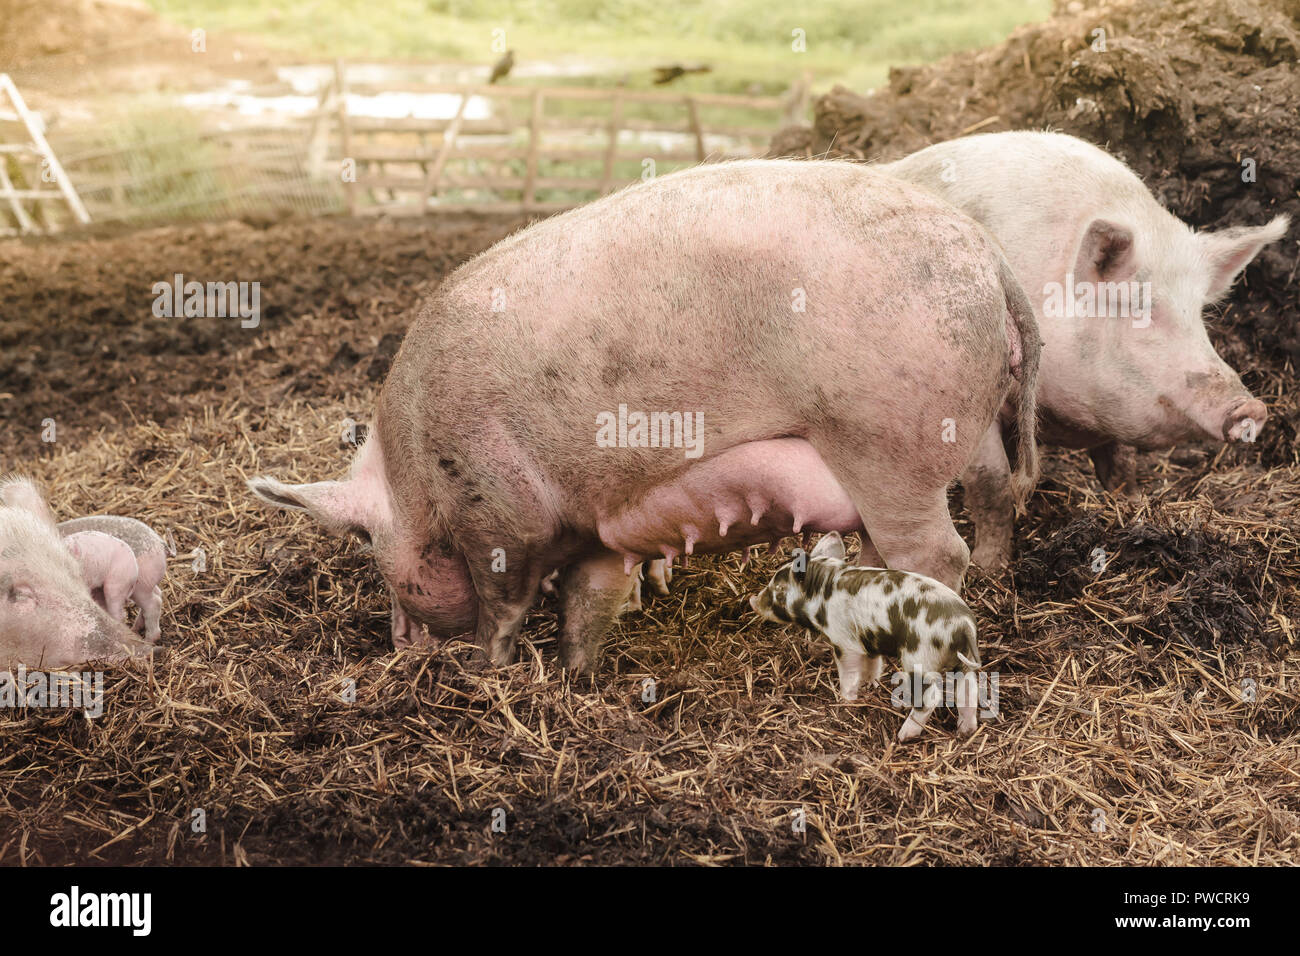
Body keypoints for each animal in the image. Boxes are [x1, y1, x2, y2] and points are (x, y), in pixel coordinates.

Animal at [249, 158, 1041, 673]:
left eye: (364, 541)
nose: (399, 647)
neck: (415, 470)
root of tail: (991, 260)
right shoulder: (598, 521)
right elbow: (587, 602)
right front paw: (574, 682)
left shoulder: (498, 510)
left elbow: (503, 607)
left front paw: (487, 676)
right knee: (919, 536)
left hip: (889, 442)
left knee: (938, 554)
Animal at [750, 531, 980, 741]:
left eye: (779, 589)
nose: (753, 600)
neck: (823, 593)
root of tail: (962, 625)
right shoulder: (870, 641)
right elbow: (873, 666)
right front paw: (871, 685)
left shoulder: (845, 642)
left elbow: (849, 673)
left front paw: (845, 701)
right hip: (964, 661)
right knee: (968, 691)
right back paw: (965, 731)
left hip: (920, 658)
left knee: (930, 698)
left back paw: (903, 735)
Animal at [877, 131, 1288, 567]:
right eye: (1140, 308)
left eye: (1198, 314)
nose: (1252, 408)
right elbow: (992, 483)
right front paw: (989, 568)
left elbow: (1122, 468)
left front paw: (1133, 511)